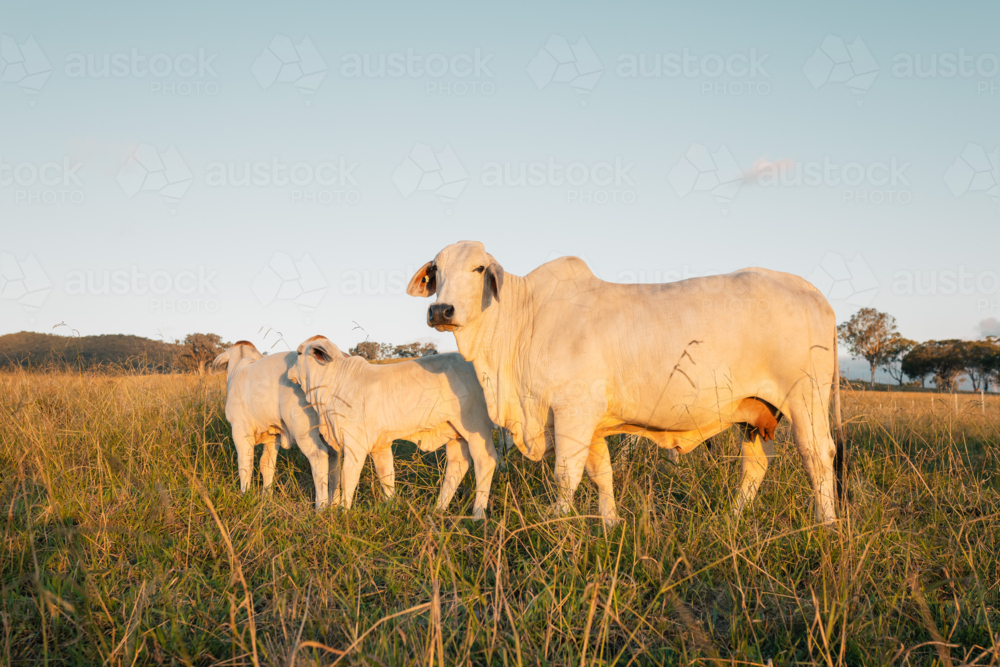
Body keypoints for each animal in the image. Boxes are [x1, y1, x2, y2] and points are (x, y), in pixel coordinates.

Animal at [212, 341, 334, 509]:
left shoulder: (239, 430)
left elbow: (245, 464)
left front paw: (245, 494)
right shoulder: (272, 435)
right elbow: (267, 465)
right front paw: (267, 496)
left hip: (304, 430)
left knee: (319, 457)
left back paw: (321, 507)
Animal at [288, 336, 499, 518]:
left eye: (298, 353)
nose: (288, 372)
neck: (334, 384)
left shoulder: (355, 445)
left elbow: (348, 479)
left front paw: (343, 512)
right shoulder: (380, 444)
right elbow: (386, 476)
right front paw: (391, 506)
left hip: (475, 426)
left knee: (485, 461)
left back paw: (478, 515)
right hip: (456, 434)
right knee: (458, 465)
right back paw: (438, 509)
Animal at [406, 241, 844, 526]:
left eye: (479, 269)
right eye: (437, 271)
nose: (441, 310)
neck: (522, 321)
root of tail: (812, 292)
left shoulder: (574, 412)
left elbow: (566, 475)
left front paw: (556, 522)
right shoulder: (594, 424)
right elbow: (602, 474)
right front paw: (610, 522)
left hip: (804, 400)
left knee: (818, 455)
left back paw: (825, 523)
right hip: (753, 413)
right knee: (755, 465)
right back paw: (733, 517)